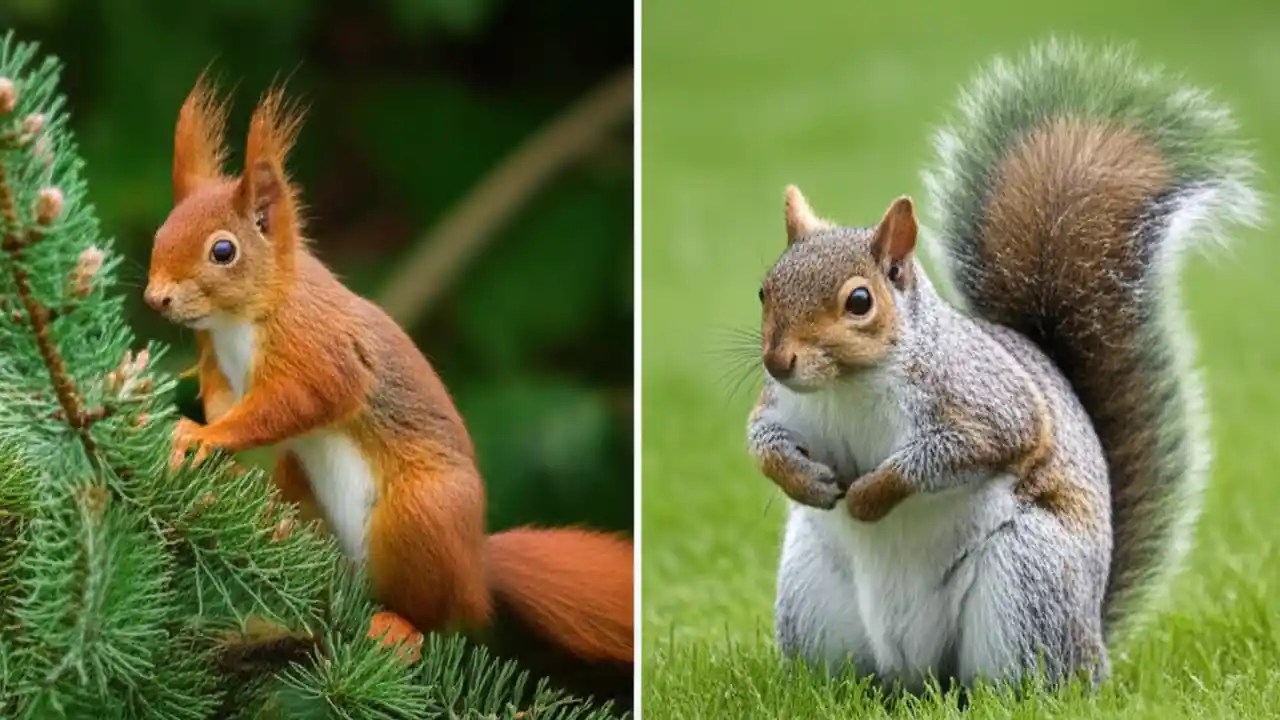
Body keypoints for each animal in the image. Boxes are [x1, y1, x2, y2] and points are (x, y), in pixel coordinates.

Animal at [142, 77, 633, 703]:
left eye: (222, 251)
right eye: (162, 232)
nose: (156, 298)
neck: (240, 319)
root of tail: (477, 569)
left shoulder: (320, 351)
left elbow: (293, 404)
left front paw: (205, 437)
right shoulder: (222, 368)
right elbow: (227, 400)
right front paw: (213, 456)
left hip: (422, 513)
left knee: (434, 616)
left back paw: (398, 626)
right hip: (309, 483)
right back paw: (279, 531)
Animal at [748, 40, 1259, 691]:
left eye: (859, 301)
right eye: (765, 290)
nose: (777, 359)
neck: (847, 386)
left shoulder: (983, 400)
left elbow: (955, 451)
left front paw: (869, 496)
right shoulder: (782, 403)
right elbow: (761, 438)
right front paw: (801, 478)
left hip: (1025, 584)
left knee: (1020, 680)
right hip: (813, 596)